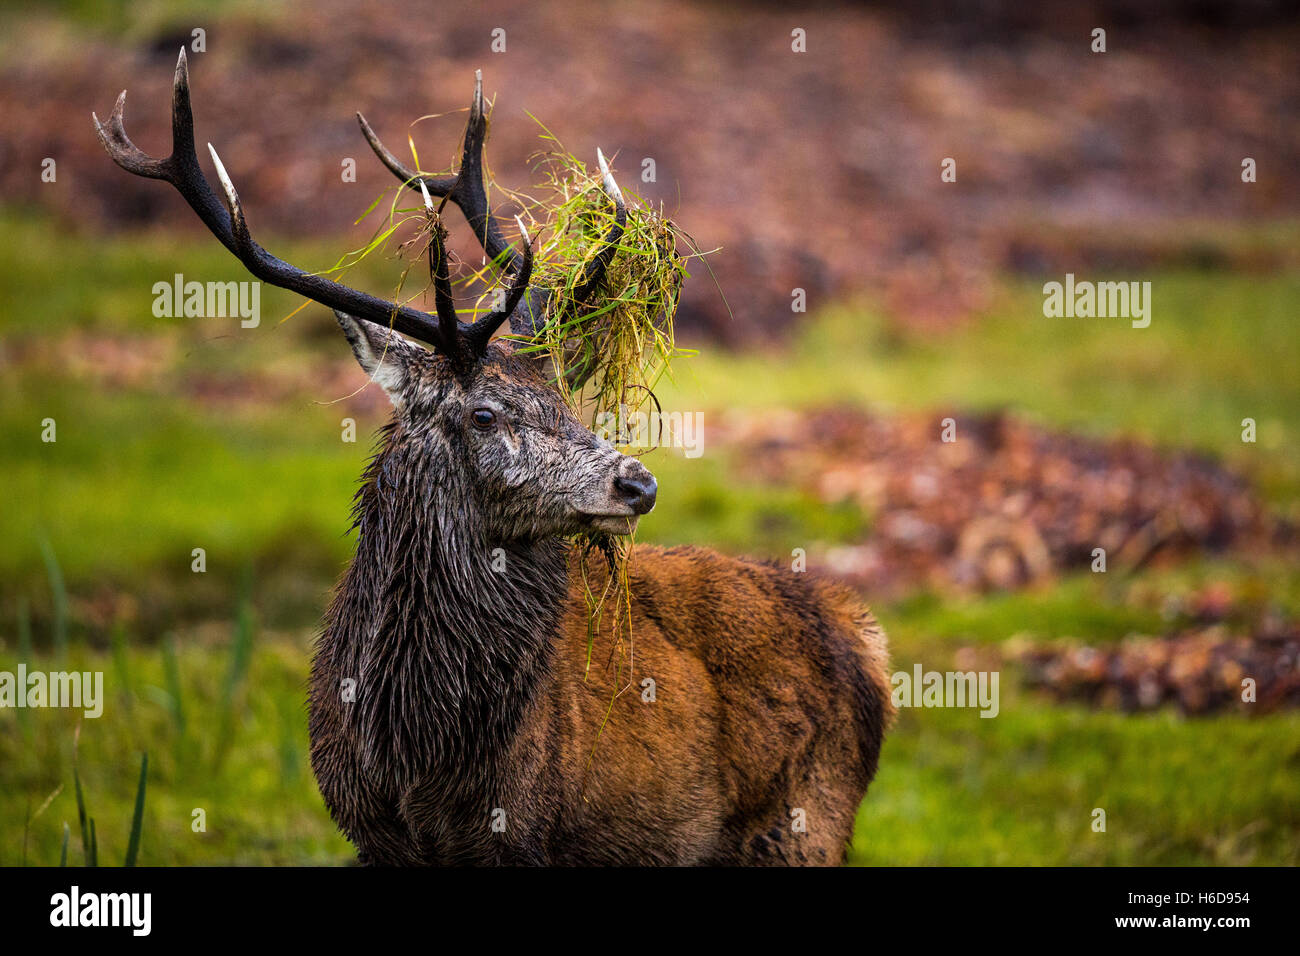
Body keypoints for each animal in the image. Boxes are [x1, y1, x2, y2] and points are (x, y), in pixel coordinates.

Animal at [94, 50, 894, 866]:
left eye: (567, 405)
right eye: (483, 413)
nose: (637, 483)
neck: (413, 751)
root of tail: (865, 640)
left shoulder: (525, 833)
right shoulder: (367, 830)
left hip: (806, 820)